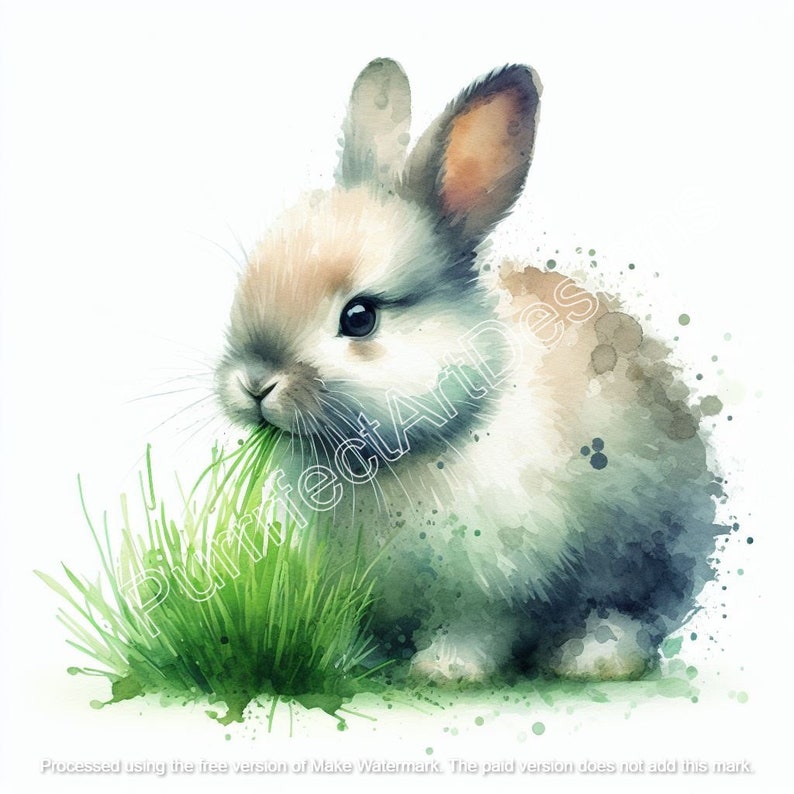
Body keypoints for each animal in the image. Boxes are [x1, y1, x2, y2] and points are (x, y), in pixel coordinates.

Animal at [215, 58, 726, 683]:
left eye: (360, 318)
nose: (255, 383)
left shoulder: (493, 582)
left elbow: (478, 625)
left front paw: (447, 669)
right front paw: (347, 661)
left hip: (647, 554)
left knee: (633, 613)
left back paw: (594, 656)